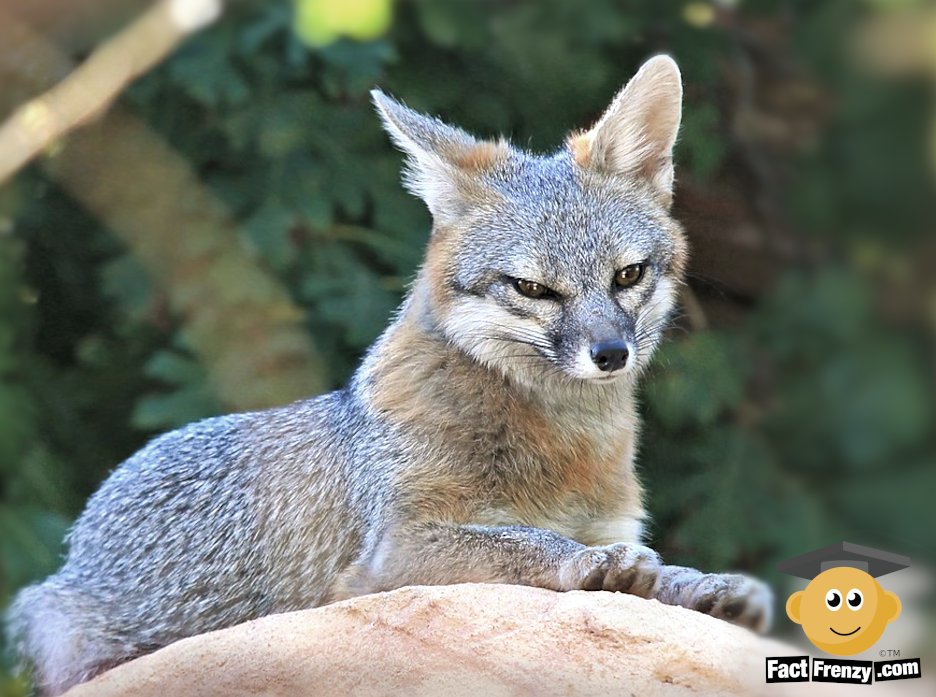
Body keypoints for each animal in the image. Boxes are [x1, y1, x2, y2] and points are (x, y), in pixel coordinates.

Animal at [6, 55, 772, 696]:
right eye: (533, 288)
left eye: (628, 275)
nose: (612, 353)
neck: (561, 447)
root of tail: (81, 537)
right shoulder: (396, 549)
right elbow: (525, 540)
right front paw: (590, 565)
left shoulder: (611, 520)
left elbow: (657, 567)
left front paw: (703, 583)